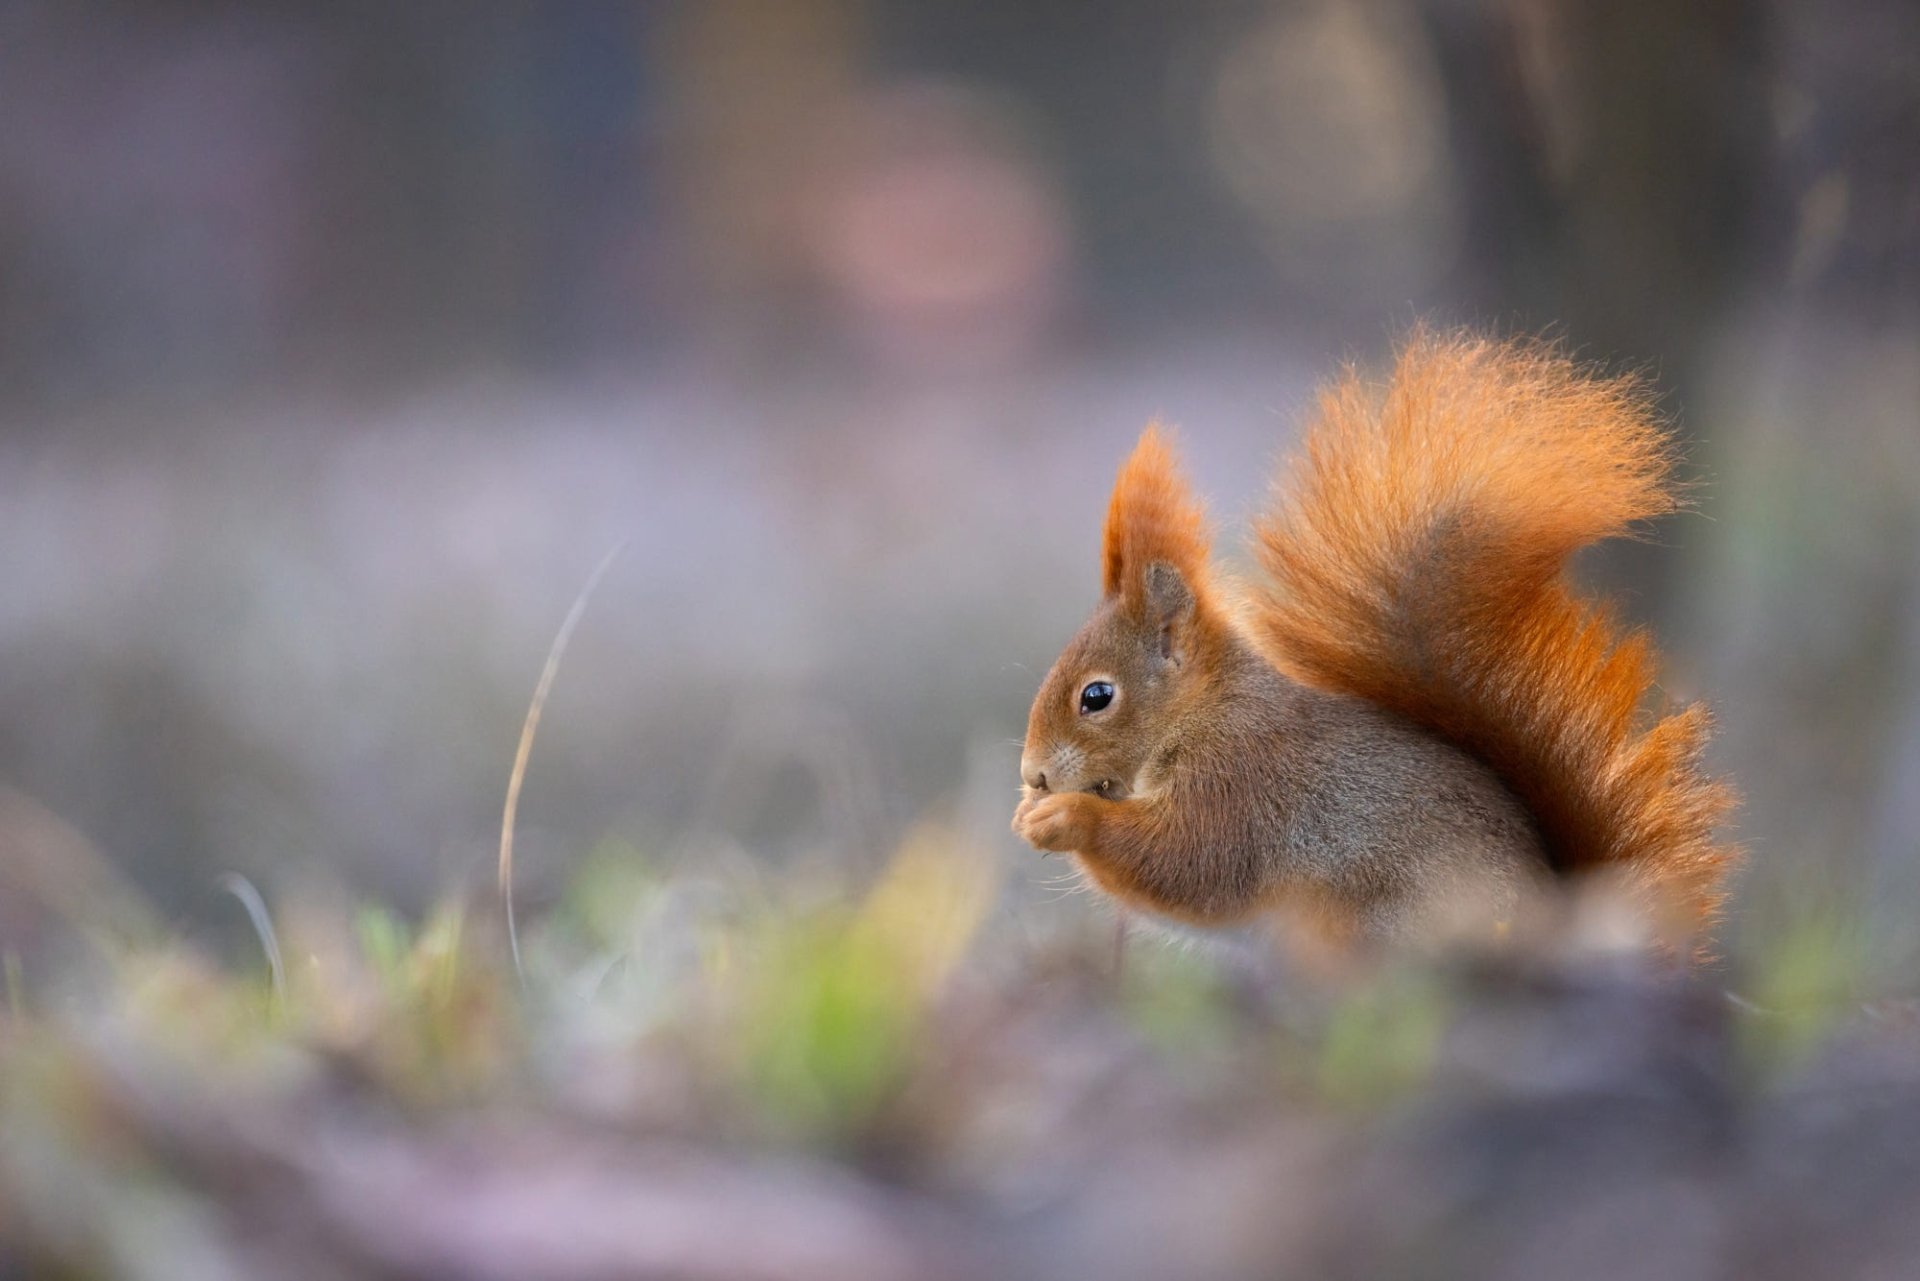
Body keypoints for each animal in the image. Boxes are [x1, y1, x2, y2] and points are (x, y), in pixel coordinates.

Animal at [1012, 329, 1738, 955]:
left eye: (1097, 696)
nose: (1034, 774)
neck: (1204, 712)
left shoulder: (1241, 782)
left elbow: (1188, 862)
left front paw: (1063, 818)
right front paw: (1031, 809)